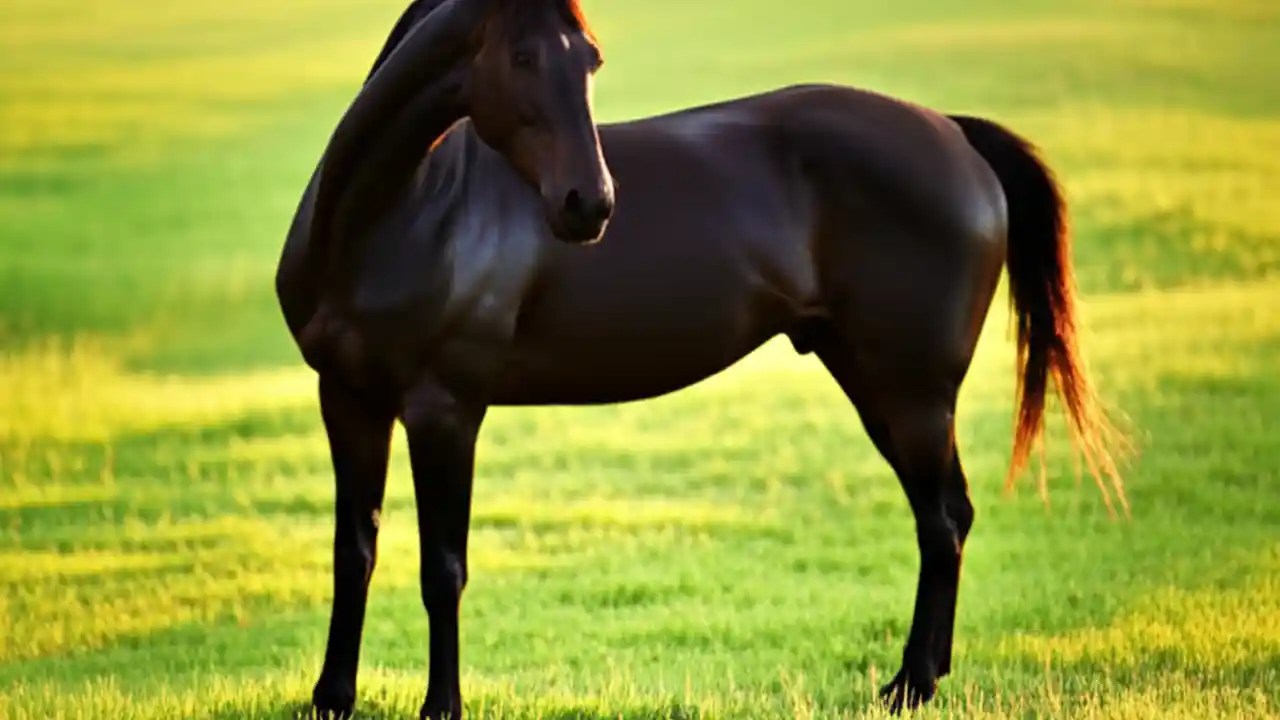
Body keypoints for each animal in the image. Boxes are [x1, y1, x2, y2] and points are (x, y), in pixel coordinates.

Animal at [275, 0, 1122, 717]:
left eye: (590, 59)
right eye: (519, 56)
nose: (590, 205)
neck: (399, 213)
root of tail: (953, 132)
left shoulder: (445, 409)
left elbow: (442, 567)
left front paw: (440, 707)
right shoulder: (347, 399)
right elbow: (353, 552)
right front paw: (331, 699)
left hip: (910, 394)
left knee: (941, 520)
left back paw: (910, 685)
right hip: (881, 386)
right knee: (947, 515)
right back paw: (922, 679)